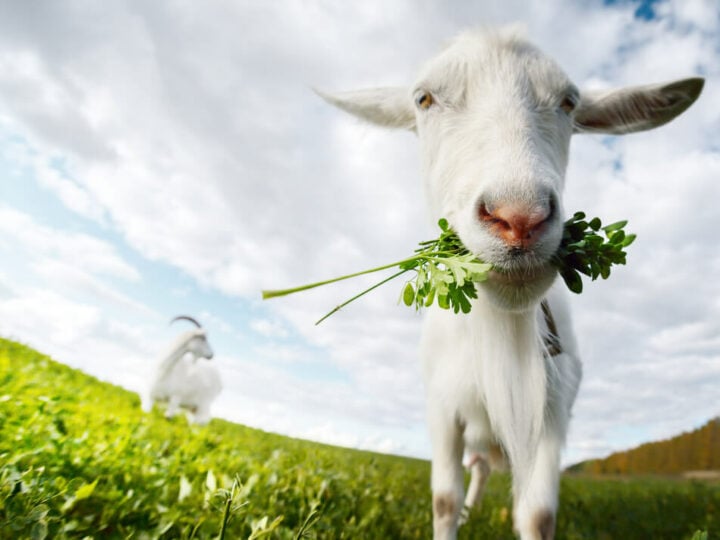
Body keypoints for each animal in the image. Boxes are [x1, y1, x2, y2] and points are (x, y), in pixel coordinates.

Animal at [320, 26, 703, 539]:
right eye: (423, 98)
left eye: (568, 102)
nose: (519, 218)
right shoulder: (441, 408)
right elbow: (443, 499)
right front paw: (456, 514)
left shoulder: (553, 412)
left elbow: (537, 514)